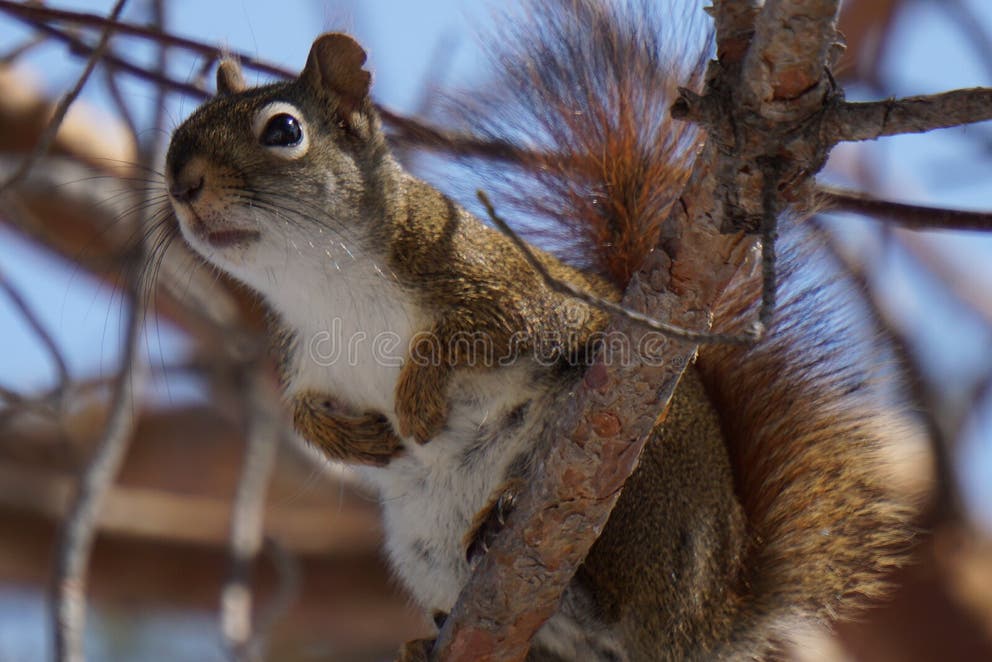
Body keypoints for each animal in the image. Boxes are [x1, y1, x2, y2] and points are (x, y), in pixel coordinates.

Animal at [164, 2, 920, 660]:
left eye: (283, 131)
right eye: (182, 128)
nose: (181, 184)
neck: (322, 283)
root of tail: (703, 627)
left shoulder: (498, 286)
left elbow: (472, 335)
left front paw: (416, 397)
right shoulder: (305, 357)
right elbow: (300, 414)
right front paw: (356, 440)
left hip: (642, 490)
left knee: (618, 598)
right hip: (425, 549)